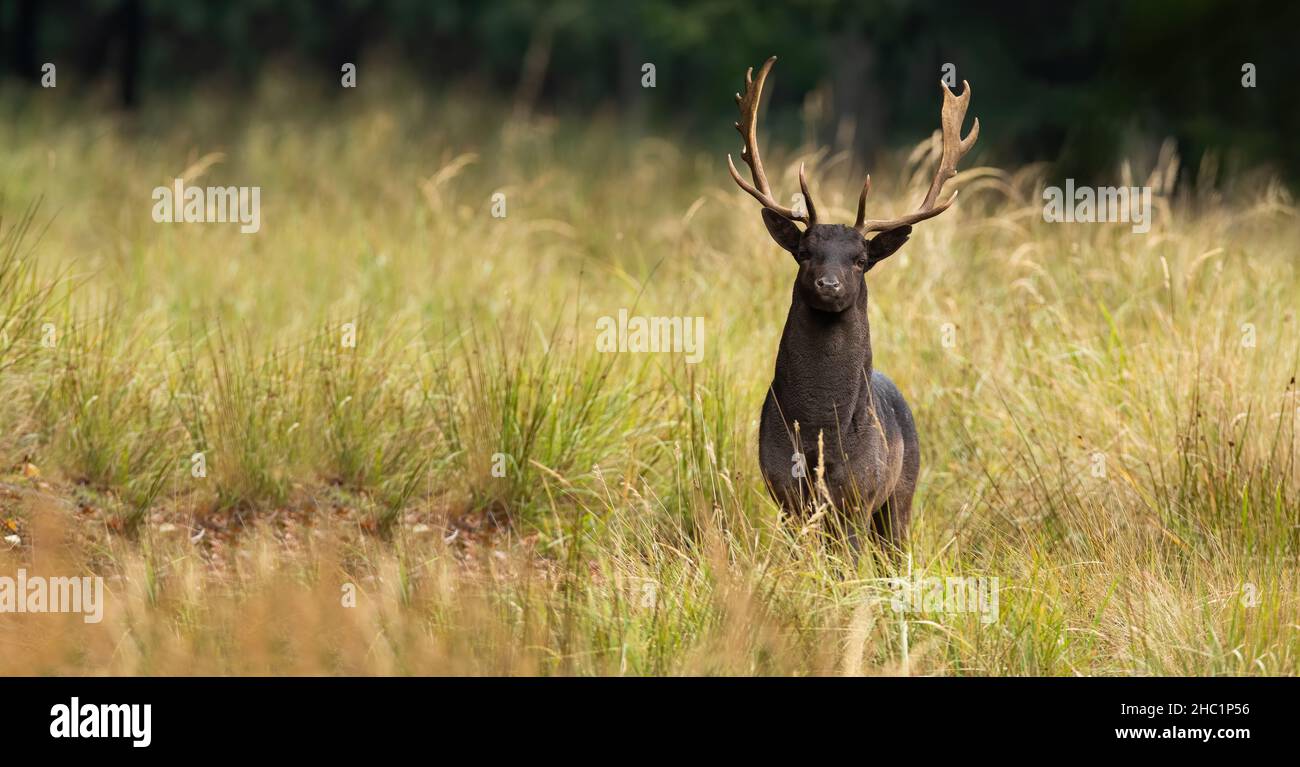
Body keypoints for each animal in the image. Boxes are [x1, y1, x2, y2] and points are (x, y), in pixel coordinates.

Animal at [727, 57, 978, 550]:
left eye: (861, 261)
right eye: (805, 252)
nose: (829, 284)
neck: (819, 430)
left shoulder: (860, 493)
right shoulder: (783, 490)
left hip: (902, 489)